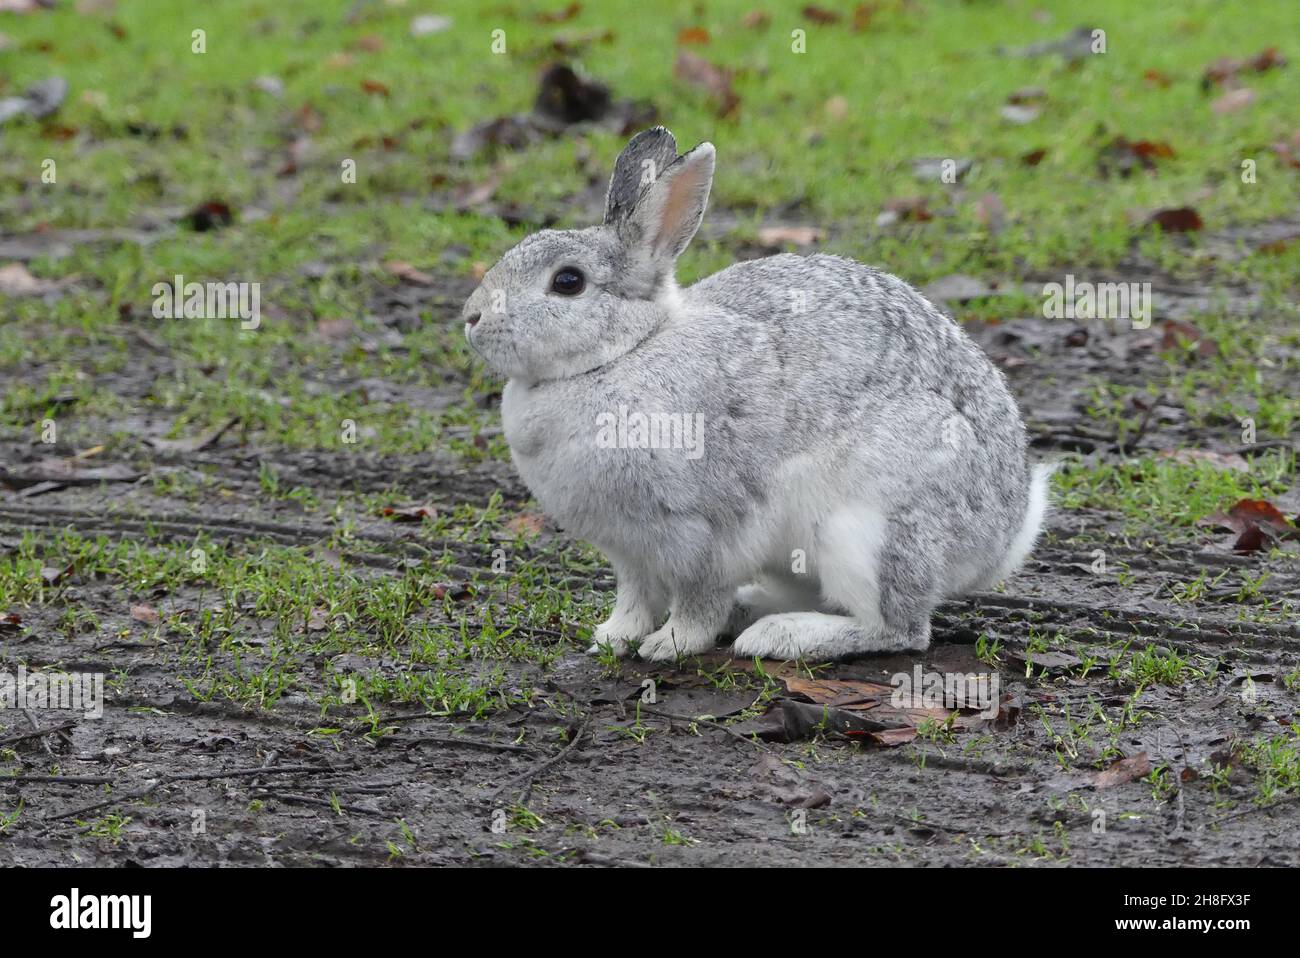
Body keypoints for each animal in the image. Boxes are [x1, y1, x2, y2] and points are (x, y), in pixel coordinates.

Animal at [461, 126, 1051, 663]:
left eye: (568, 282)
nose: (470, 316)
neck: (622, 353)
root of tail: (1004, 536)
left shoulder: (702, 536)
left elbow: (696, 603)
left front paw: (669, 646)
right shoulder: (629, 554)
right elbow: (635, 598)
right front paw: (613, 637)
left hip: (865, 531)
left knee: (898, 628)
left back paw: (778, 637)